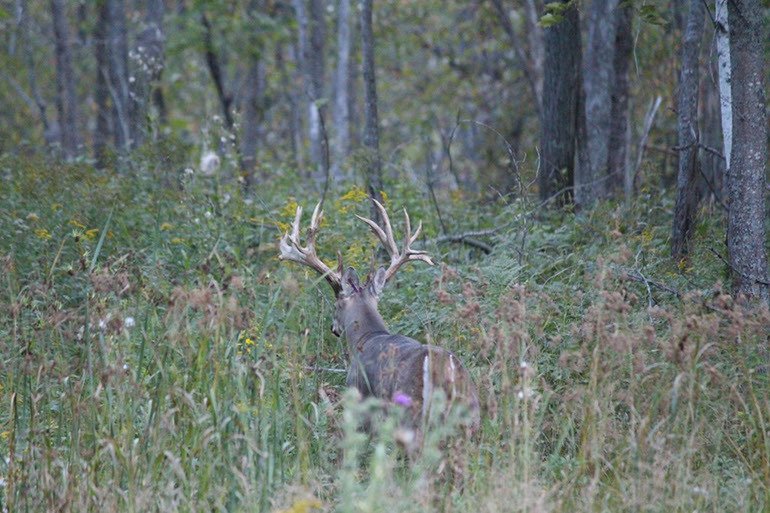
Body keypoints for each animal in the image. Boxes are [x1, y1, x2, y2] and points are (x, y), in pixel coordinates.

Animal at [279, 199, 480, 446]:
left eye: (336, 303)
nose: (333, 328)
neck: (367, 337)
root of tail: (446, 370)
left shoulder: (359, 396)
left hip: (411, 411)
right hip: (471, 413)